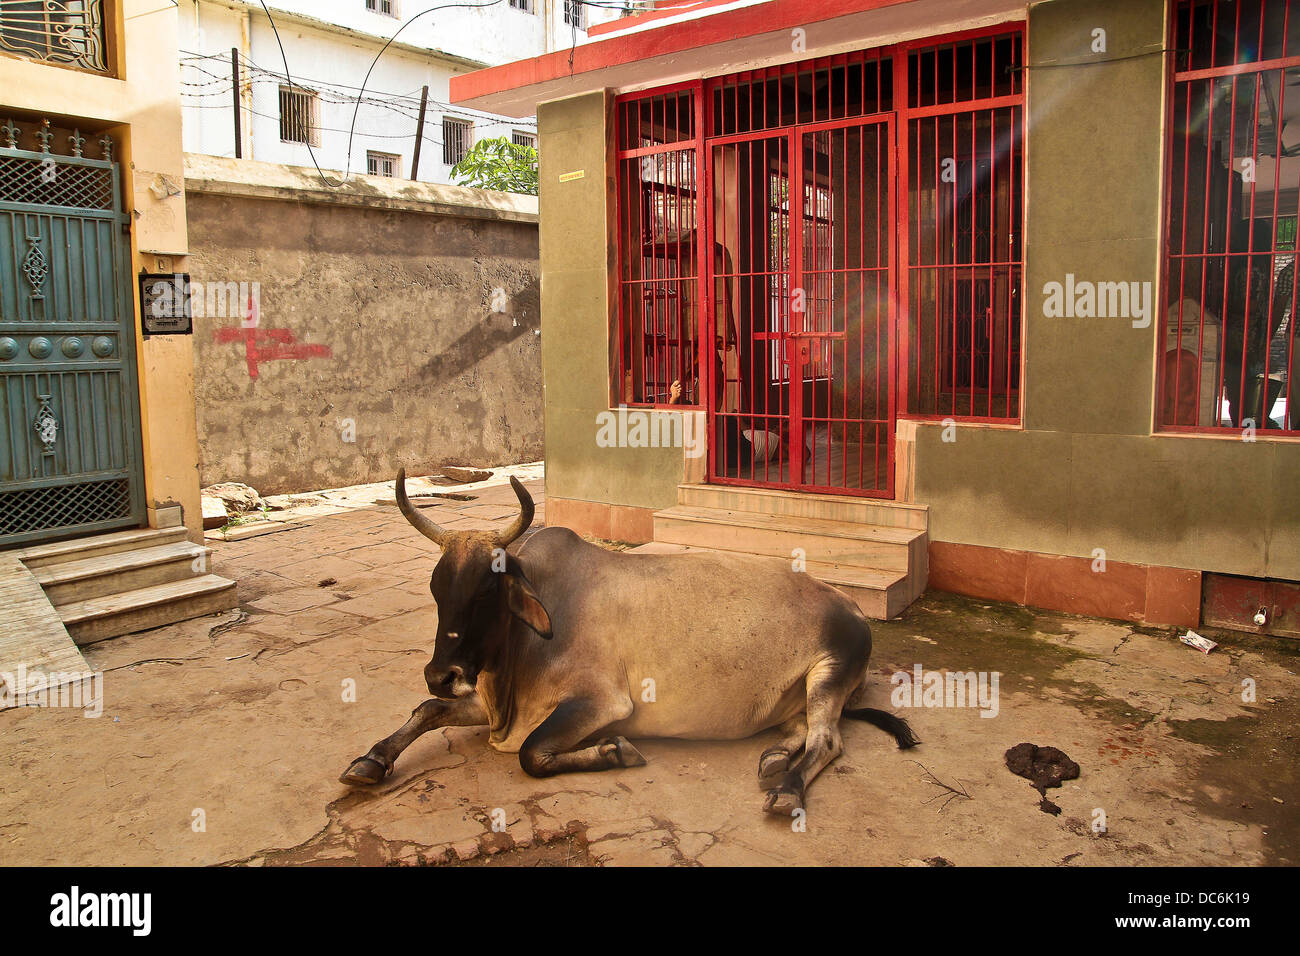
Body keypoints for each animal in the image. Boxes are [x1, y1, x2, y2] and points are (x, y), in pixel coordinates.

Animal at [339, 470, 919, 814]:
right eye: (437, 588)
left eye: (486, 590)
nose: (442, 674)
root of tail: (849, 606)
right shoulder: (490, 700)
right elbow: (427, 712)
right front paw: (369, 762)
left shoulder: (599, 703)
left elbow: (530, 753)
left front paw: (616, 751)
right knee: (800, 731)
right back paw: (775, 758)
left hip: (830, 671)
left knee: (828, 739)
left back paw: (786, 788)